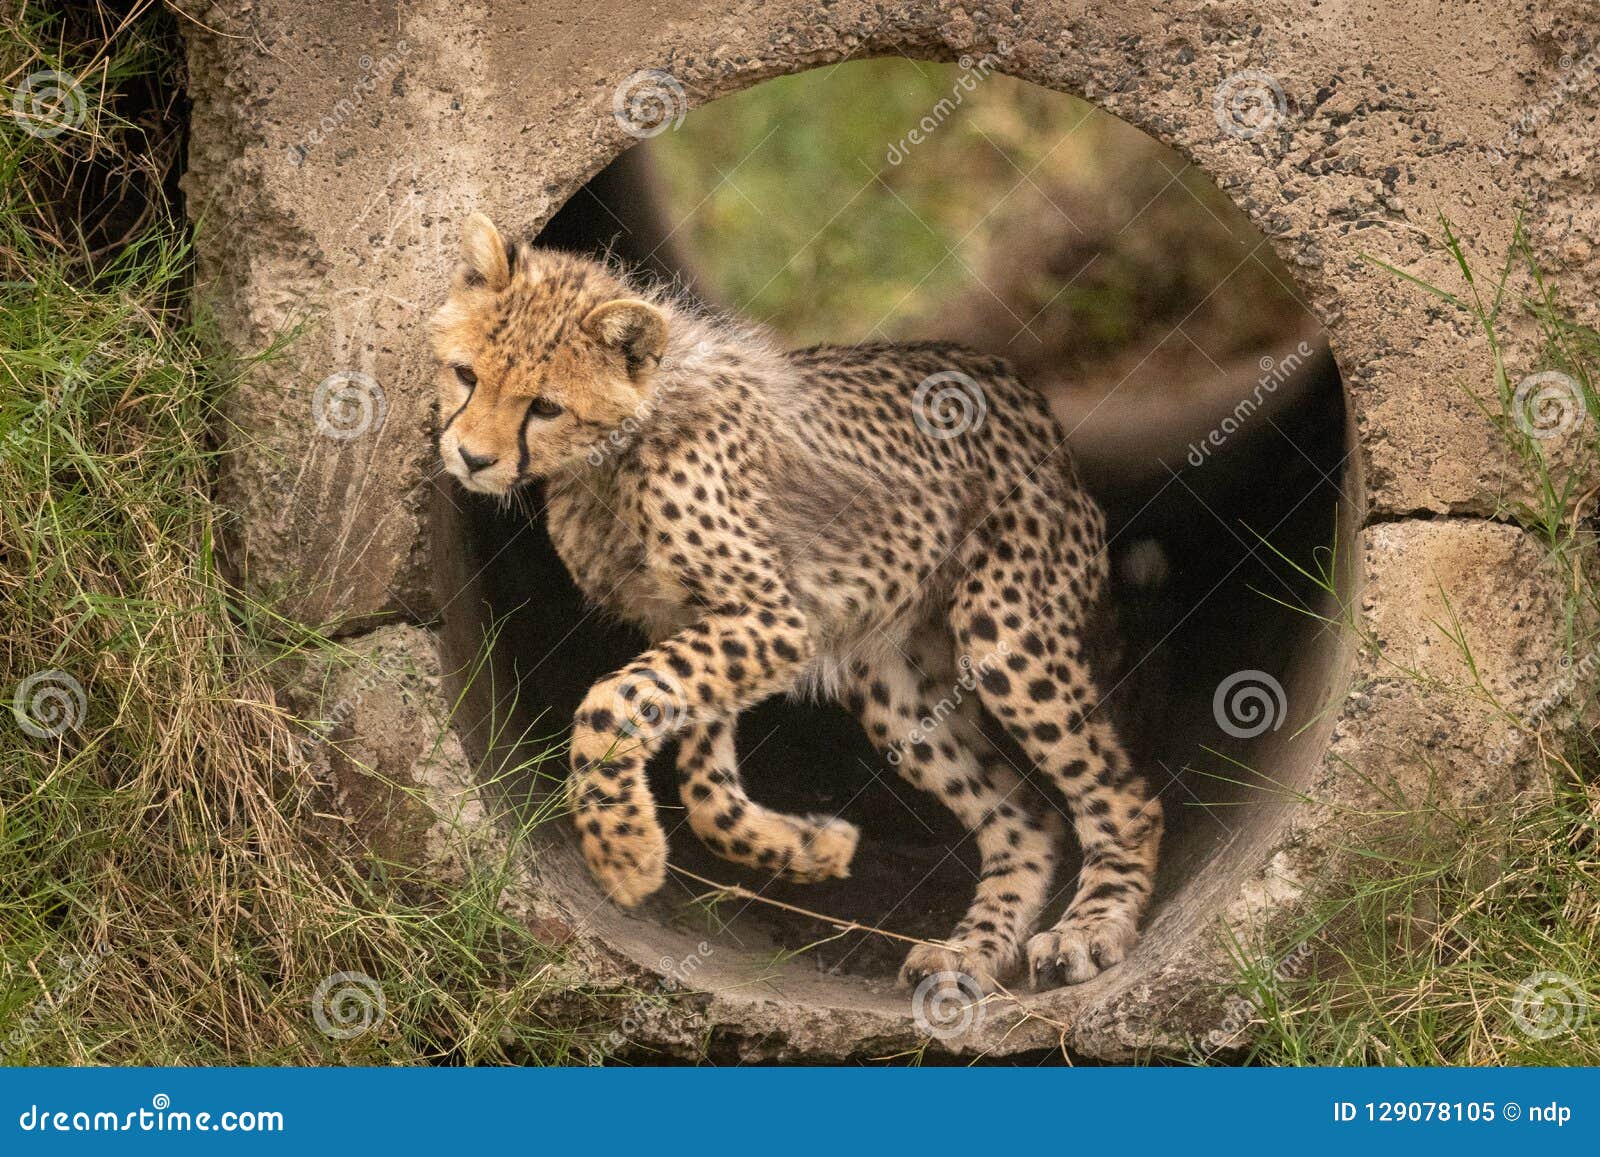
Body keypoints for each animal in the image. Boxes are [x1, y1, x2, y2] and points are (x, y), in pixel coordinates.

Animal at [429, 213, 1163, 993]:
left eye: (545, 406)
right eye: (466, 374)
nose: (471, 458)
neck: (611, 456)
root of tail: (1026, 396)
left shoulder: (771, 618)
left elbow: (612, 700)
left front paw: (624, 856)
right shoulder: (699, 623)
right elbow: (704, 783)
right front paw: (806, 847)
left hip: (1006, 634)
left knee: (1123, 798)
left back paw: (1090, 927)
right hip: (896, 686)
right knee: (1025, 817)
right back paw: (971, 949)